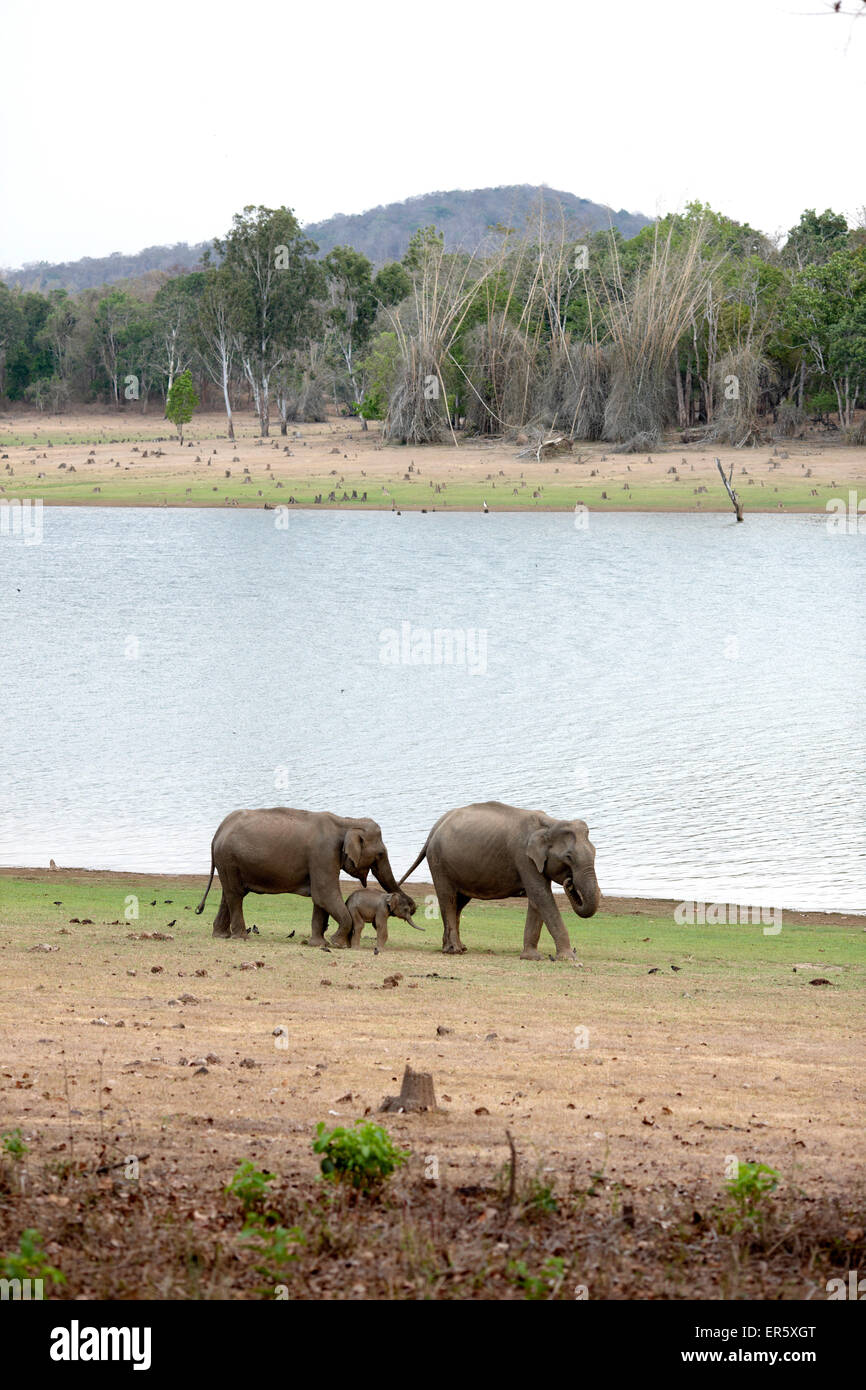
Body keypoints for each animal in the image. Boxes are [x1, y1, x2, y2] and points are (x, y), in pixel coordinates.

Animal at [195, 807, 401, 943]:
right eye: (380, 854)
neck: (347, 821)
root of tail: (219, 830)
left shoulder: (321, 860)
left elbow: (320, 899)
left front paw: (318, 944)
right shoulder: (323, 854)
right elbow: (325, 894)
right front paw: (336, 943)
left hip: (229, 863)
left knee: (229, 893)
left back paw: (221, 935)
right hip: (229, 858)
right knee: (235, 895)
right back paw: (241, 937)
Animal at [398, 800, 600, 960]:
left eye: (595, 852)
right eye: (569, 857)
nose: (569, 882)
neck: (550, 824)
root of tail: (436, 826)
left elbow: (537, 901)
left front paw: (531, 957)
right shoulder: (523, 858)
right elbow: (541, 896)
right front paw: (570, 958)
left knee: (458, 903)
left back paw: (455, 947)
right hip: (439, 862)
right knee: (448, 899)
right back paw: (454, 950)